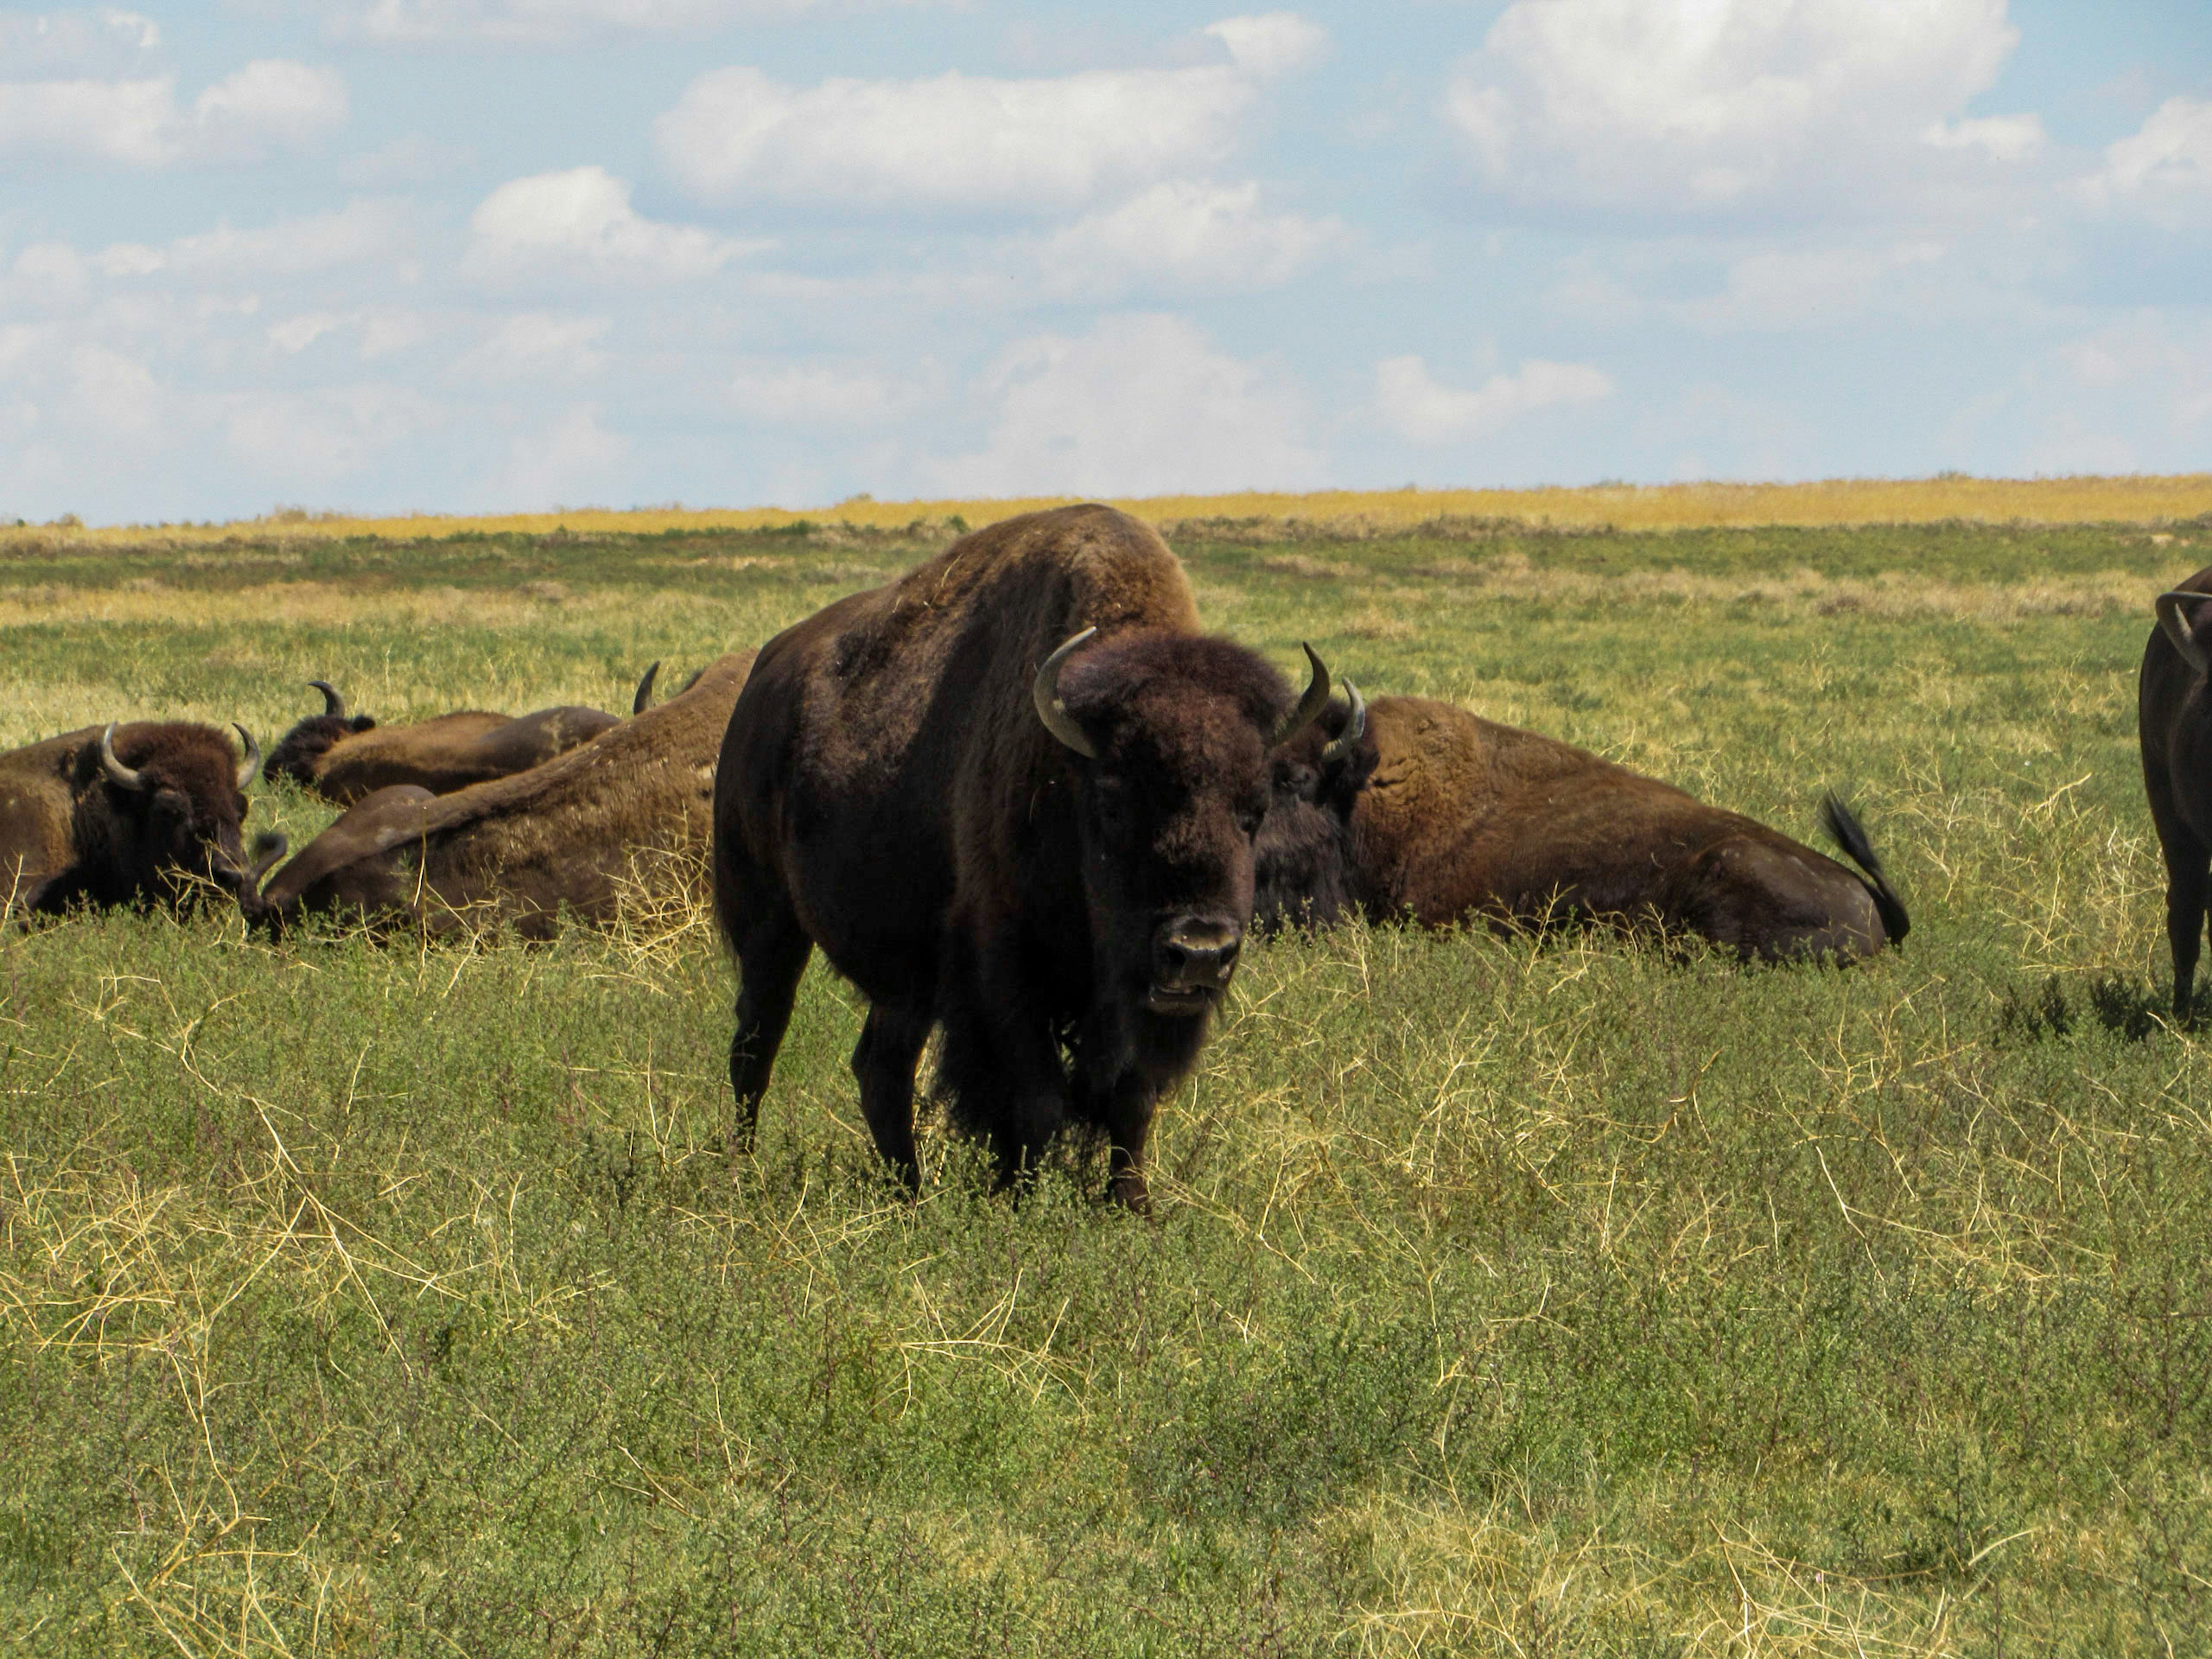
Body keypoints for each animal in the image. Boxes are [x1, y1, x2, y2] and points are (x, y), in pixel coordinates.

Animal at [712, 505, 1333, 1207]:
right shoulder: (1006, 970)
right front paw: (1019, 1204)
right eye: (1114, 803)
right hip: (768, 926)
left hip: (904, 977)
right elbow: (1034, 1100)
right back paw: (741, 1174)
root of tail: (761, 682)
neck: (1070, 771)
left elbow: (1133, 1101)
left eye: (1253, 809)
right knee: (755, 1046)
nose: (1199, 951)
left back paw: (909, 1193)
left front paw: (1134, 1208)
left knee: (880, 1070)